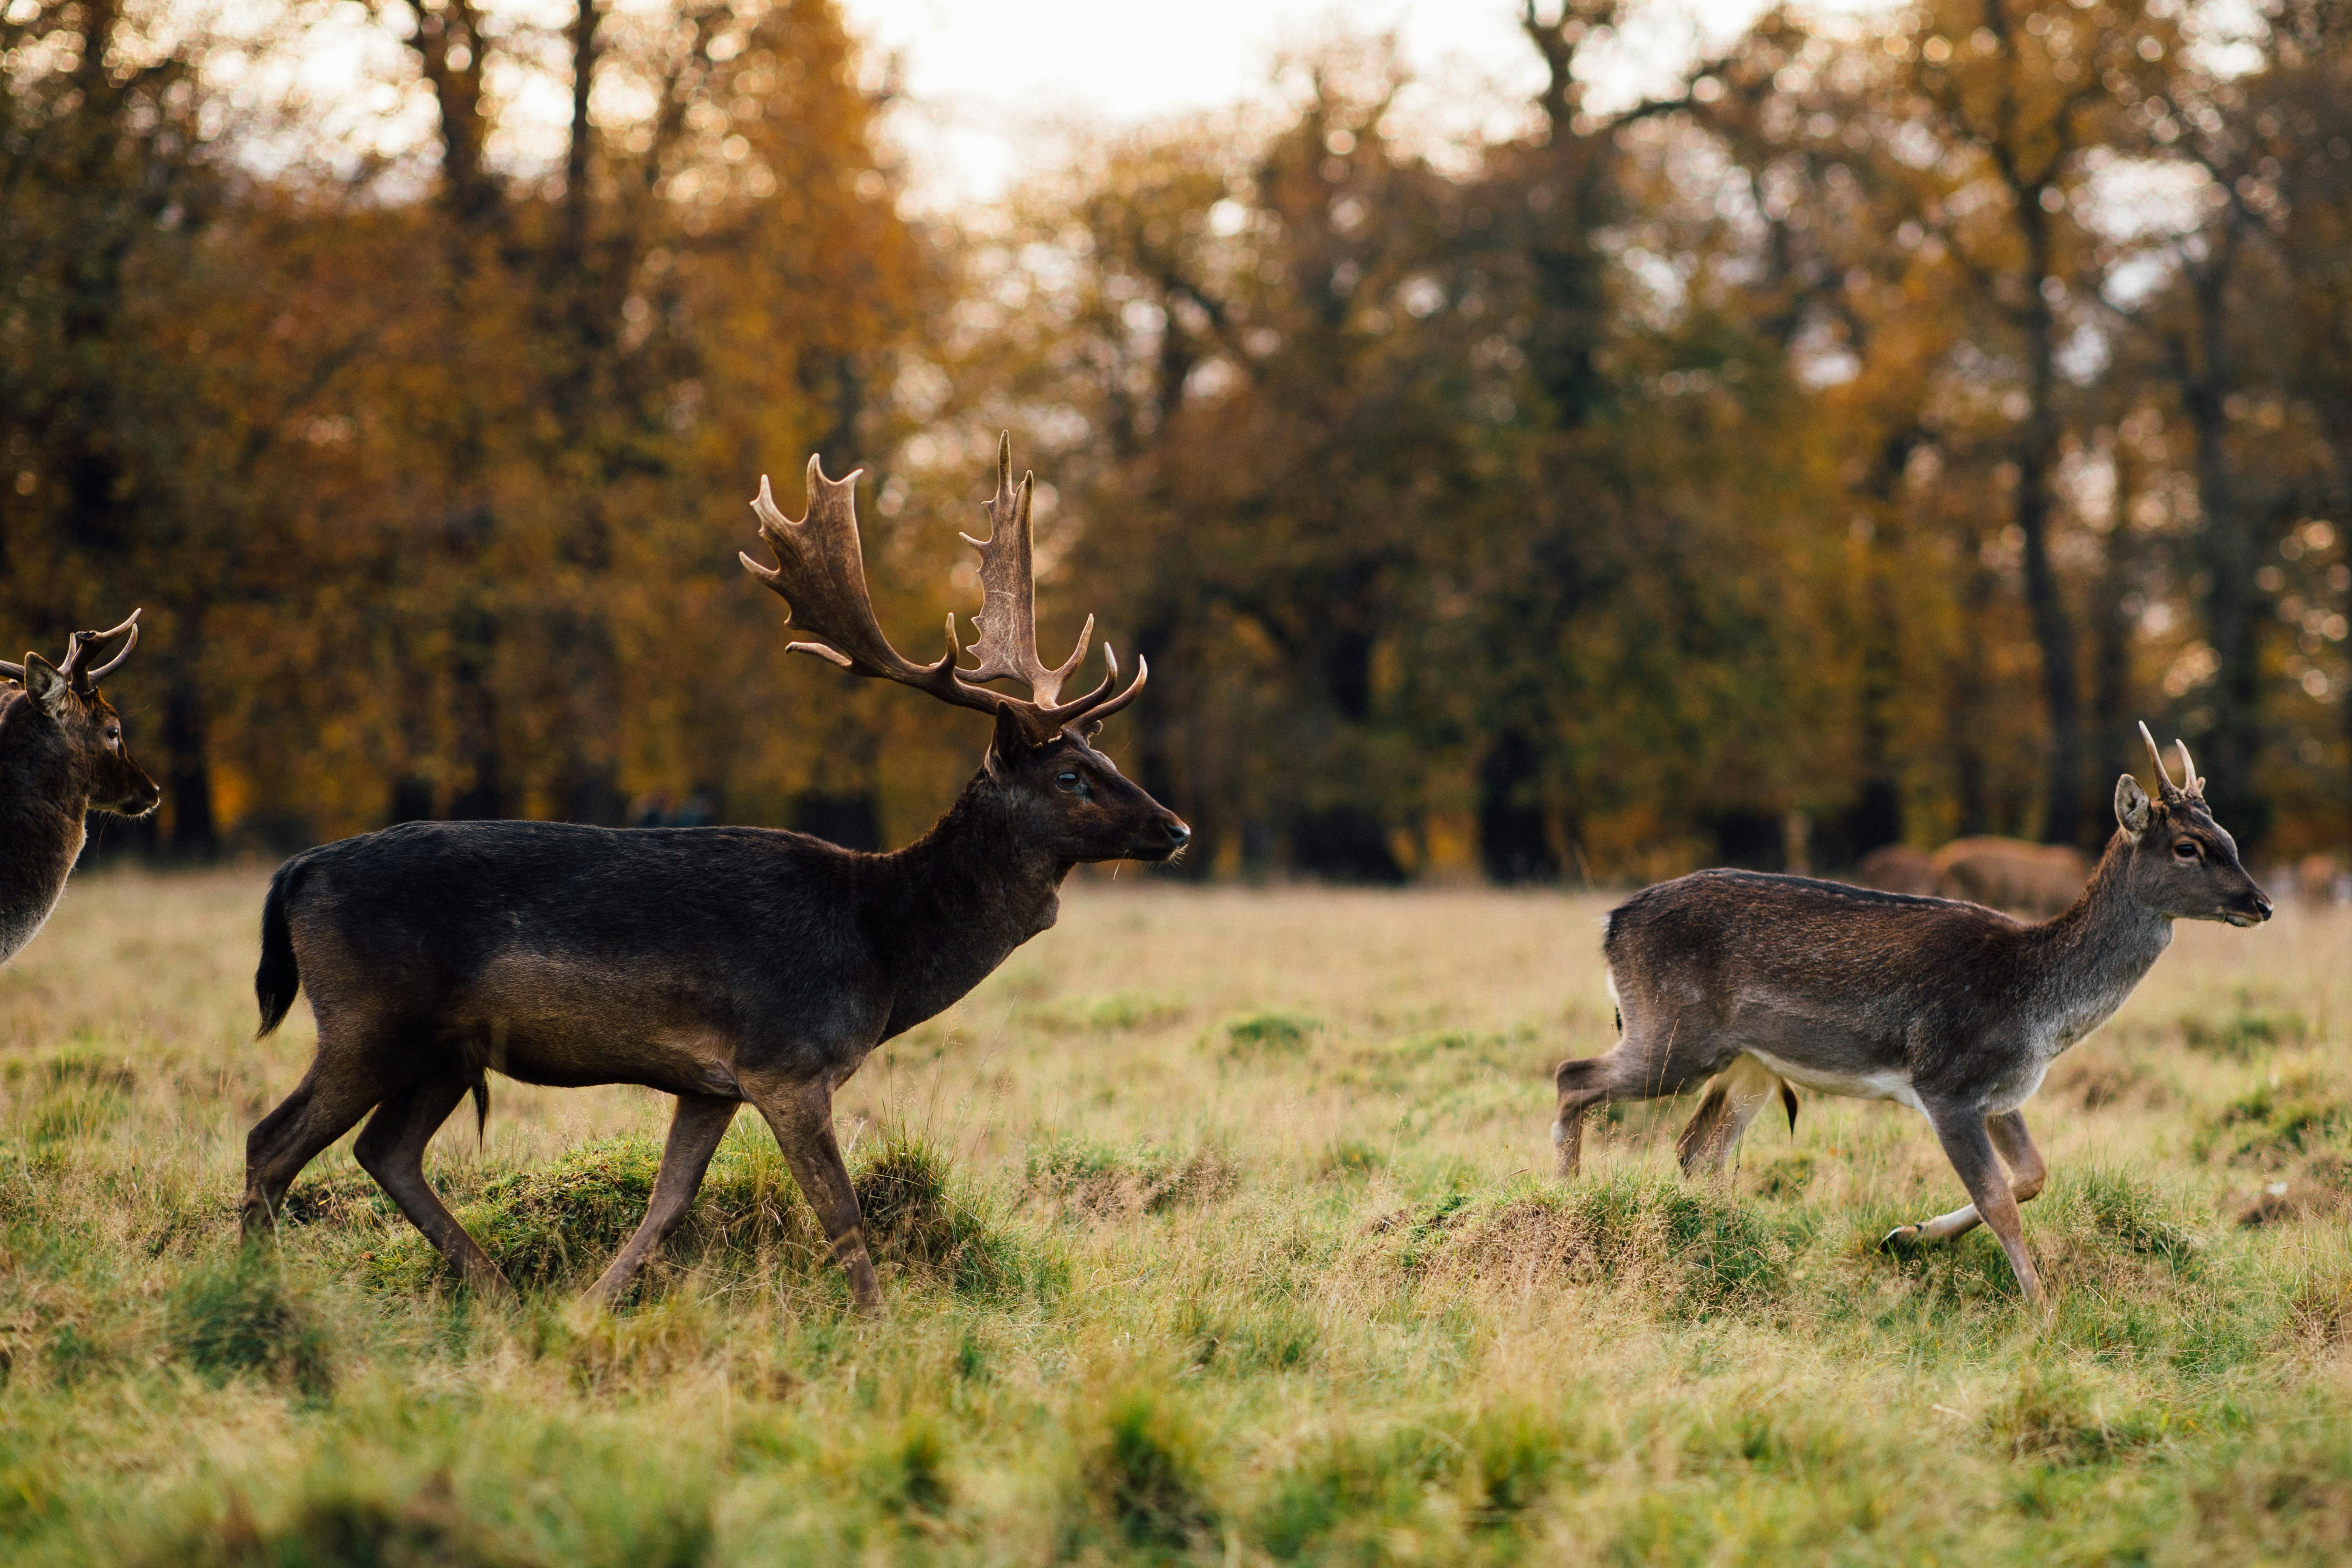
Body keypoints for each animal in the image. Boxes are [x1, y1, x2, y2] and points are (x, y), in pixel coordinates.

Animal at [242, 438, 1189, 1314]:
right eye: (1069, 776)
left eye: (1104, 757)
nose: (1176, 827)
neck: (882, 949)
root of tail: (296, 871)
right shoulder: (787, 1059)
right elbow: (841, 1213)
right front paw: (882, 1330)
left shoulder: (708, 1082)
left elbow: (670, 1200)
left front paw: (591, 1307)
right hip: (367, 1015)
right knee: (271, 1141)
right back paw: (256, 1285)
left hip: (446, 1043)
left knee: (384, 1149)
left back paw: (500, 1292)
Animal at [1549, 725, 2270, 1307]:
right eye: (2186, 847)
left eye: (2230, 839)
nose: (2260, 903)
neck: (2036, 1007)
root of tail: (1613, 923)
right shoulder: (1946, 1081)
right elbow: (2000, 1200)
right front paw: (2044, 1314)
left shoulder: (2002, 1092)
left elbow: (2033, 1175)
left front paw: (1906, 1235)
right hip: (1673, 1032)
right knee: (1572, 1075)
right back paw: (1566, 1199)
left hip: (1746, 1061)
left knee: (1697, 1147)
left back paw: (1730, 1242)